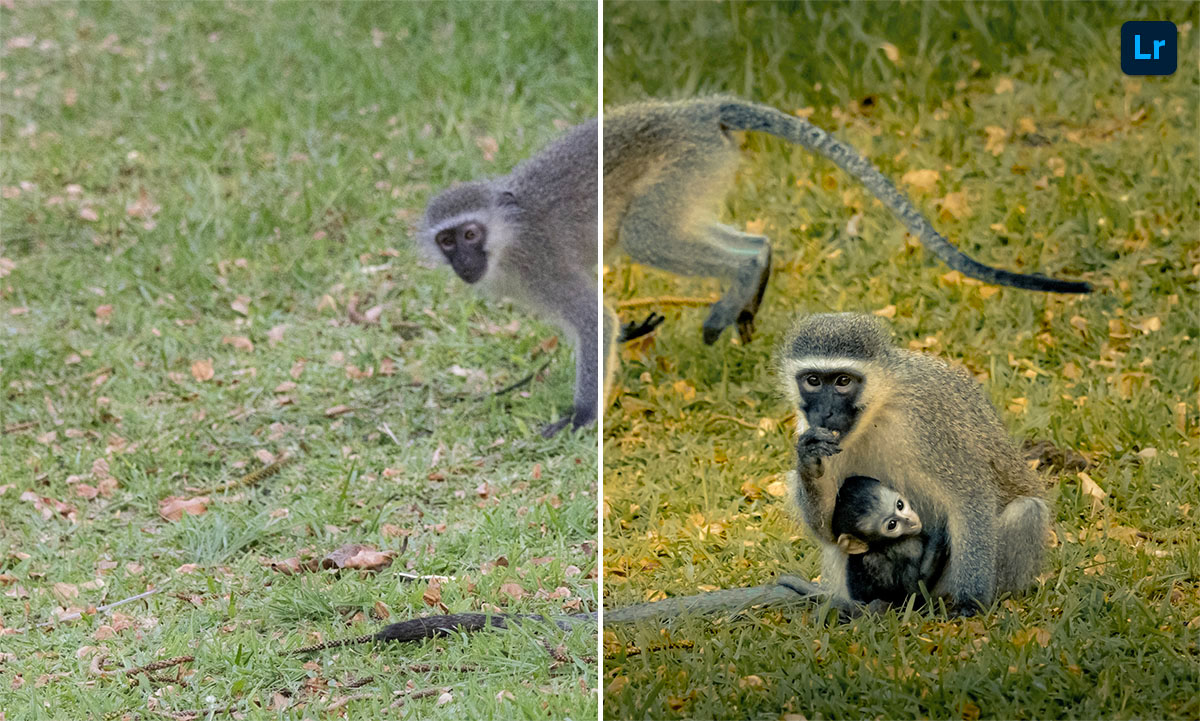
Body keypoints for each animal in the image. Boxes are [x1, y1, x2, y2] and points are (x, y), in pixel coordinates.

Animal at [419, 118, 599, 438]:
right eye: (447, 241)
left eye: (470, 234)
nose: (464, 261)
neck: (512, 236)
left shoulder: (543, 266)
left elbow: (595, 320)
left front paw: (582, 415)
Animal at [602, 97, 1091, 350]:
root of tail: (696, 111)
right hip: (693, 178)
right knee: (740, 239)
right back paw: (752, 279)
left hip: (684, 170)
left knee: (645, 236)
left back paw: (739, 286)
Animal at [831, 475, 950, 607]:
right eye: (892, 524)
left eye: (900, 505)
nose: (911, 521)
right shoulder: (905, 548)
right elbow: (915, 592)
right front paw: (939, 531)